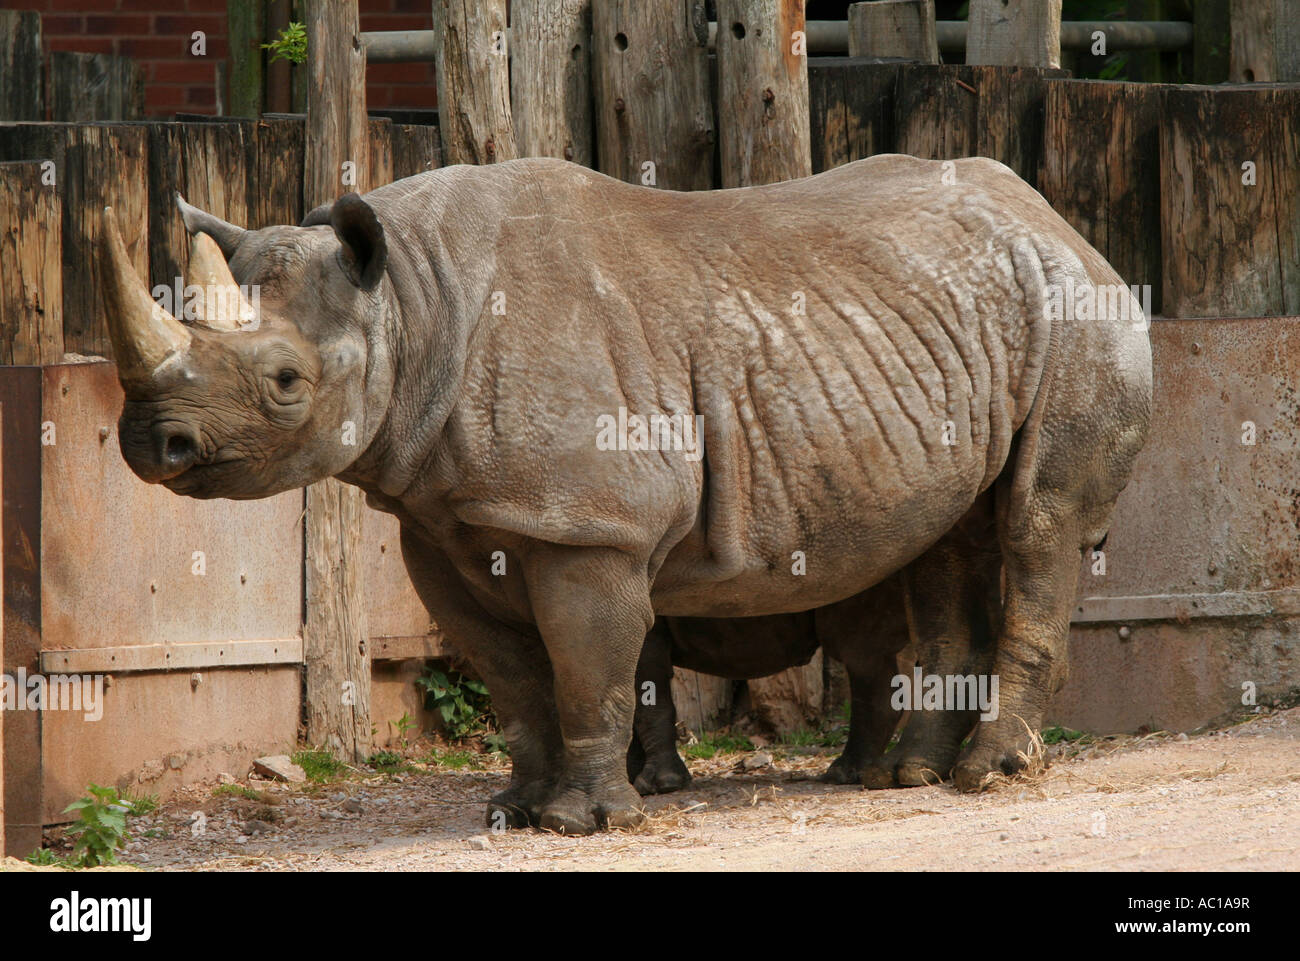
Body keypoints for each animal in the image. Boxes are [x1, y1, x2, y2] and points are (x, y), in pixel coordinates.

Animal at [100, 153, 1152, 835]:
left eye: (285, 380)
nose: (152, 442)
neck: (411, 301)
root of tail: (1062, 223)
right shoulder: (443, 523)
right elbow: (514, 674)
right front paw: (511, 809)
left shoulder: (589, 524)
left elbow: (588, 662)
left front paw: (584, 820)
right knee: (946, 537)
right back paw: (910, 776)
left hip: (1079, 313)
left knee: (1037, 524)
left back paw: (987, 774)